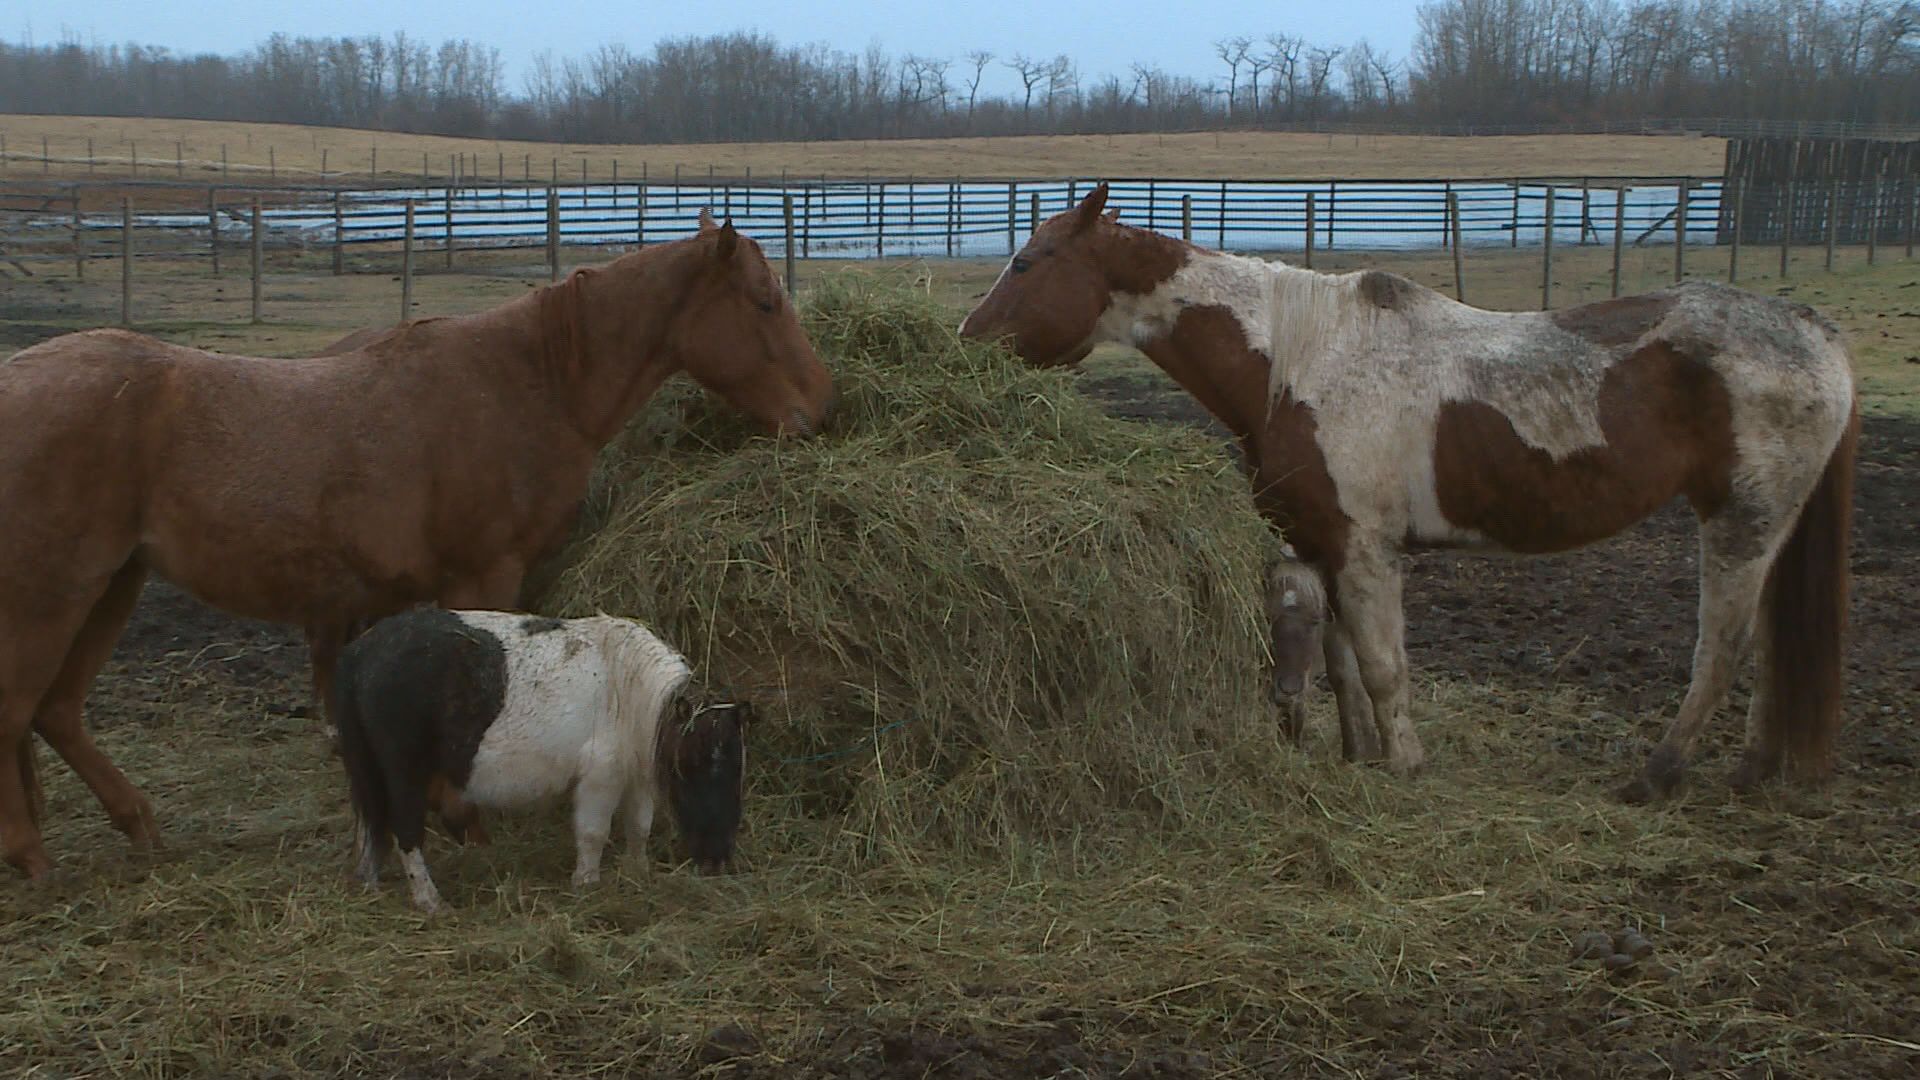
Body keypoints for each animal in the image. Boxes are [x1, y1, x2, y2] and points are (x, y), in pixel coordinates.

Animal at [0, 211, 829, 879]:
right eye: (764, 301)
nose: (821, 410)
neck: (529, 382)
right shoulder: (483, 573)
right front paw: (463, 821)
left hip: (113, 584)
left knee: (57, 712)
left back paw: (138, 828)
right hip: (55, 593)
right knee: (18, 710)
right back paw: (34, 858)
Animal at [331, 608, 750, 913]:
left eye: (735, 769)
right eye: (695, 766)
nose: (717, 860)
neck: (626, 688)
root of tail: (357, 653)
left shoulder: (636, 776)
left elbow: (638, 827)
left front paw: (637, 873)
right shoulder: (601, 777)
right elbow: (593, 833)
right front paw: (586, 884)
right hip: (403, 774)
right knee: (405, 829)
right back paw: (429, 901)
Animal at [961, 183, 1858, 802]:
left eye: (1027, 262)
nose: (965, 339)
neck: (1298, 360)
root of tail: (1817, 332)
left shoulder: (1366, 548)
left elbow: (1384, 664)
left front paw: (1403, 765)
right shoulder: (1320, 543)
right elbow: (1340, 662)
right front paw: (1357, 754)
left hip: (1741, 522)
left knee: (1723, 649)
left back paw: (1659, 775)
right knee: (1770, 646)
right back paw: (1752, 768)